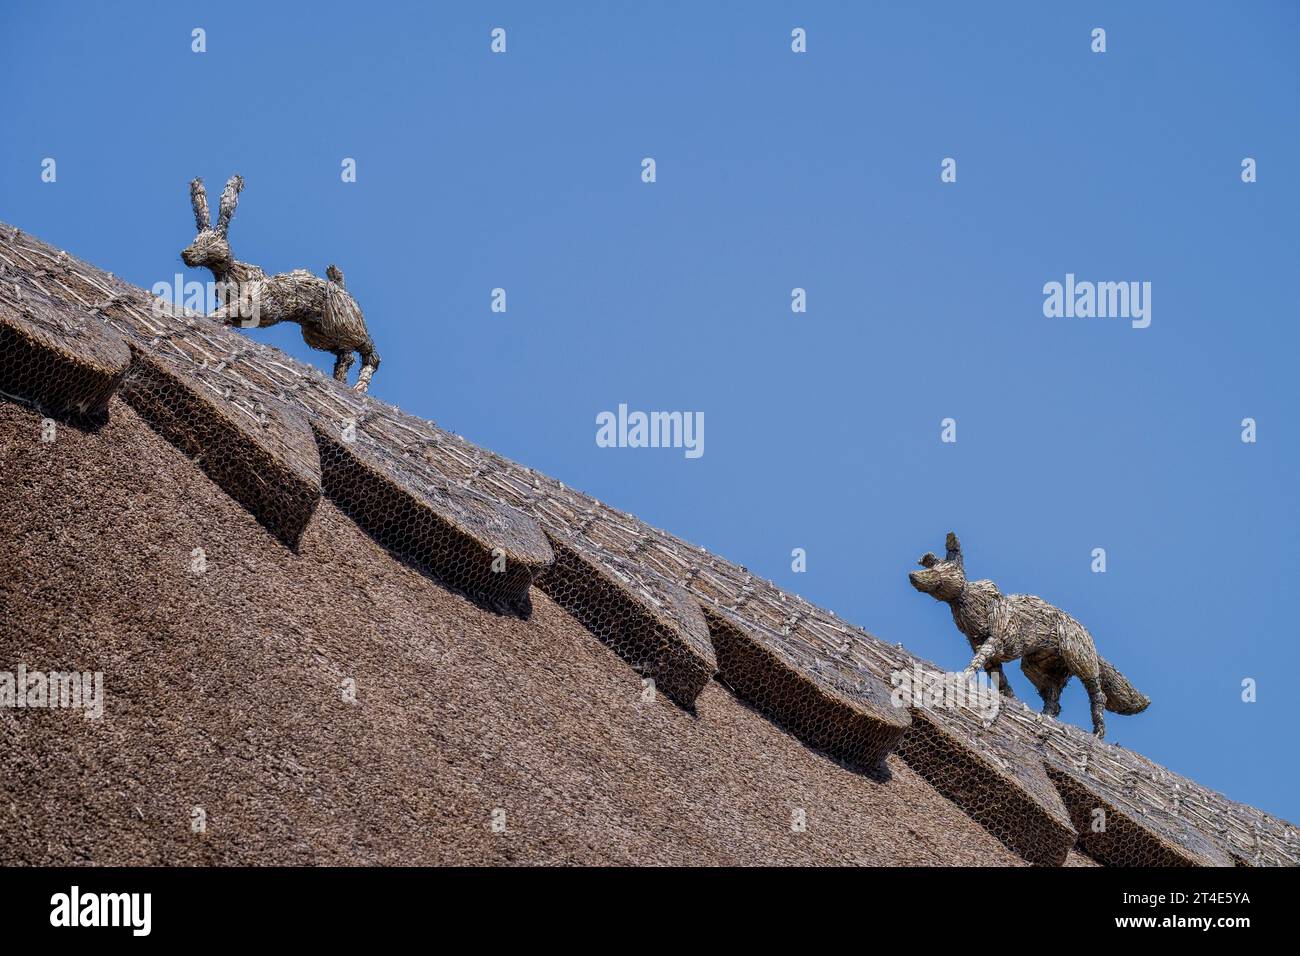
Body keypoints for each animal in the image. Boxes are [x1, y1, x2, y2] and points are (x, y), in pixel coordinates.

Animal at [181, 174, 380, 391]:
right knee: (346, 355)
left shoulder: (255, 301)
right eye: (196, 240)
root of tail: (341, 287)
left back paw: (360, 386)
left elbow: (229, 309)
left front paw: (208, 317)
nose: (186, 254)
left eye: (209, 243)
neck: (233, 271)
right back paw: (341, 380)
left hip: (345, 325)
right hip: (320, 333)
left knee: (370, 352)